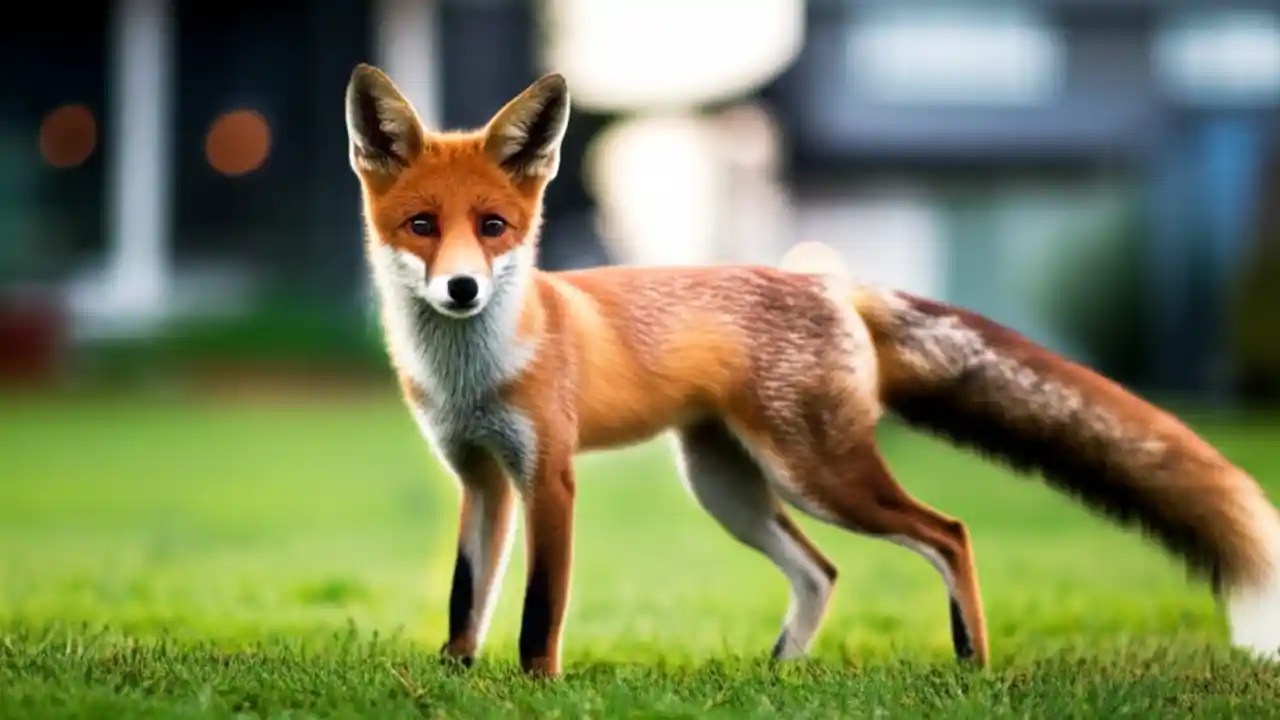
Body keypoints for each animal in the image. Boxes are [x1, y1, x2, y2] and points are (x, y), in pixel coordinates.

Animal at [343, 62, 1280, 677]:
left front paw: (535, 689)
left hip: (818, 476)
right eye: (422, 226)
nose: (462, 288)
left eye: (493, 226)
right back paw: (780, 672)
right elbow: (467, 599)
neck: (473, 369)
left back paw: (970, 666)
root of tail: (828, 280)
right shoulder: (481, 479)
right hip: (730, 488)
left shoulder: (549, 478)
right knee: (822, 572)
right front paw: (455, 680)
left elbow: (540, 609)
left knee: (948, 532)